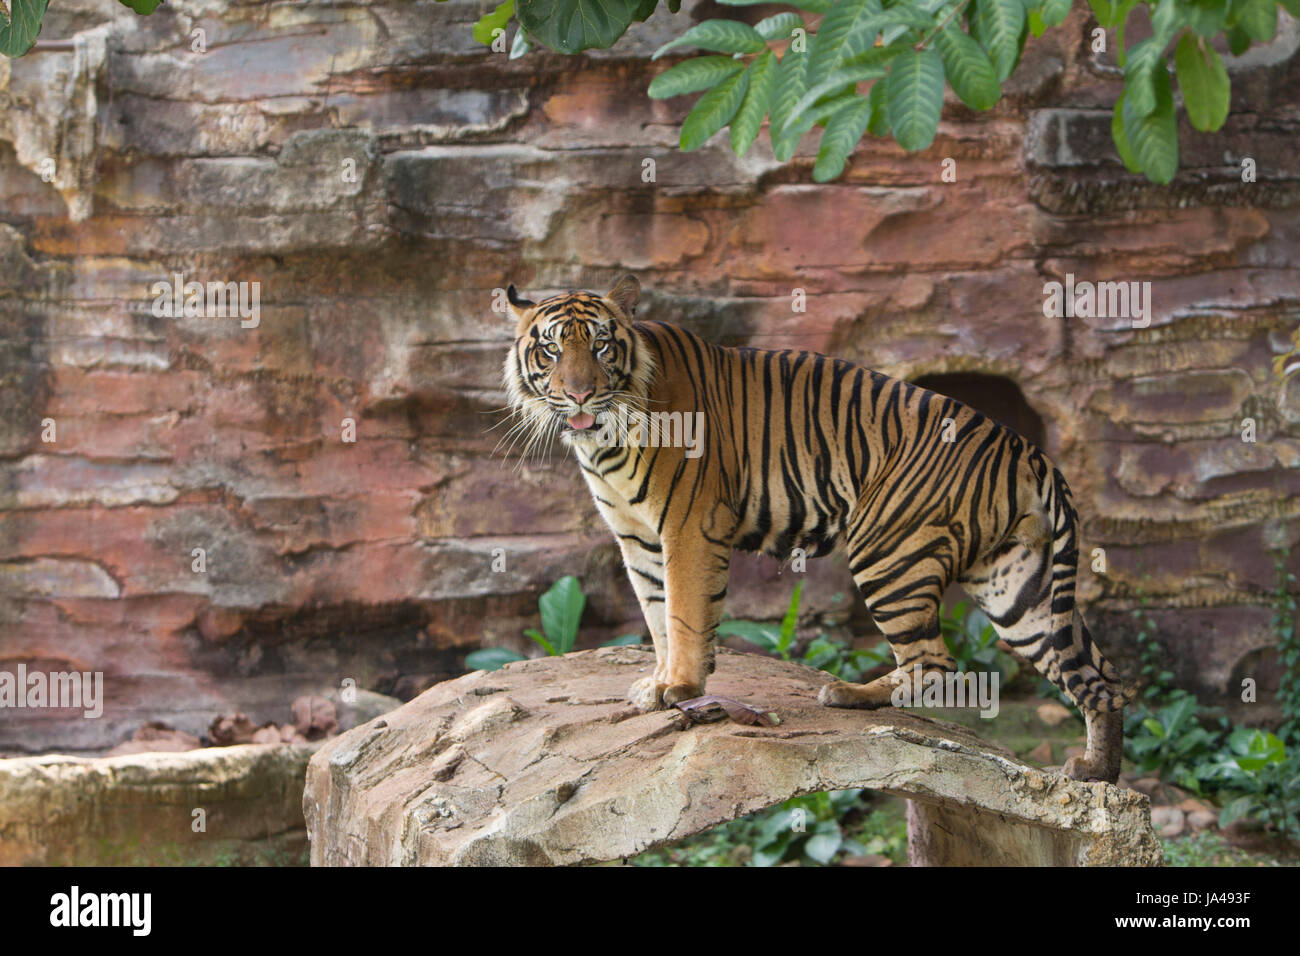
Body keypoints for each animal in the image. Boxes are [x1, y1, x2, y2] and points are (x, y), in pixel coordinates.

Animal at [501, 274, 1125, 783]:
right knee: (1100, 674)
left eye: (600, 344)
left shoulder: (687, 525)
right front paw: (658, 684)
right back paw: (1097, 771)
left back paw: (846, 694)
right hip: (1018, 584)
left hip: (887, 550)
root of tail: (1027, 449)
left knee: (935, 662)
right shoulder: (636, 535)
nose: (580, 392)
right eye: (552, 347)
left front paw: (681, 686)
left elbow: (681, 612)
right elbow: (655, 614)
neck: (603, 439)